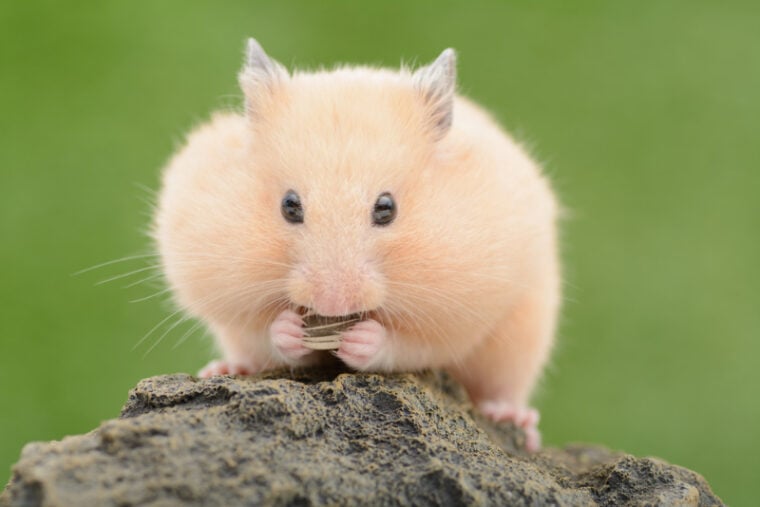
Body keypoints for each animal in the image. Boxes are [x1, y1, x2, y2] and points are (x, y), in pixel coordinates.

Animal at [154, 38, 561, 451]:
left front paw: (361, 340)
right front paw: (289, 328)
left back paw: (517, 421)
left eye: (386, 207)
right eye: (289, 205)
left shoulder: (458, 316)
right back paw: (224, 368)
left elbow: (409, 346)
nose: (333, 303)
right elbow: (265, 332)